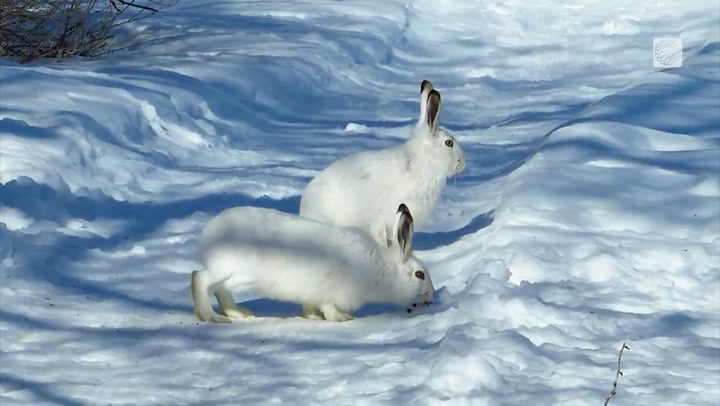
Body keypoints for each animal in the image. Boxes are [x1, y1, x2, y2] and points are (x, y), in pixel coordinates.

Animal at [191, 203, 435, 323]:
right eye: (420, 275)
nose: (431, 294)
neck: (382, 269)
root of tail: (209, 234)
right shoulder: (331, 291)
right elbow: (329, 308)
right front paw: (342, 318)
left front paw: (313, 316)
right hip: (229, 269)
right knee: (199, 278)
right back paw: (210, 317)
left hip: (236, 277)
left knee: (220, 291)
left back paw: (239, 313)